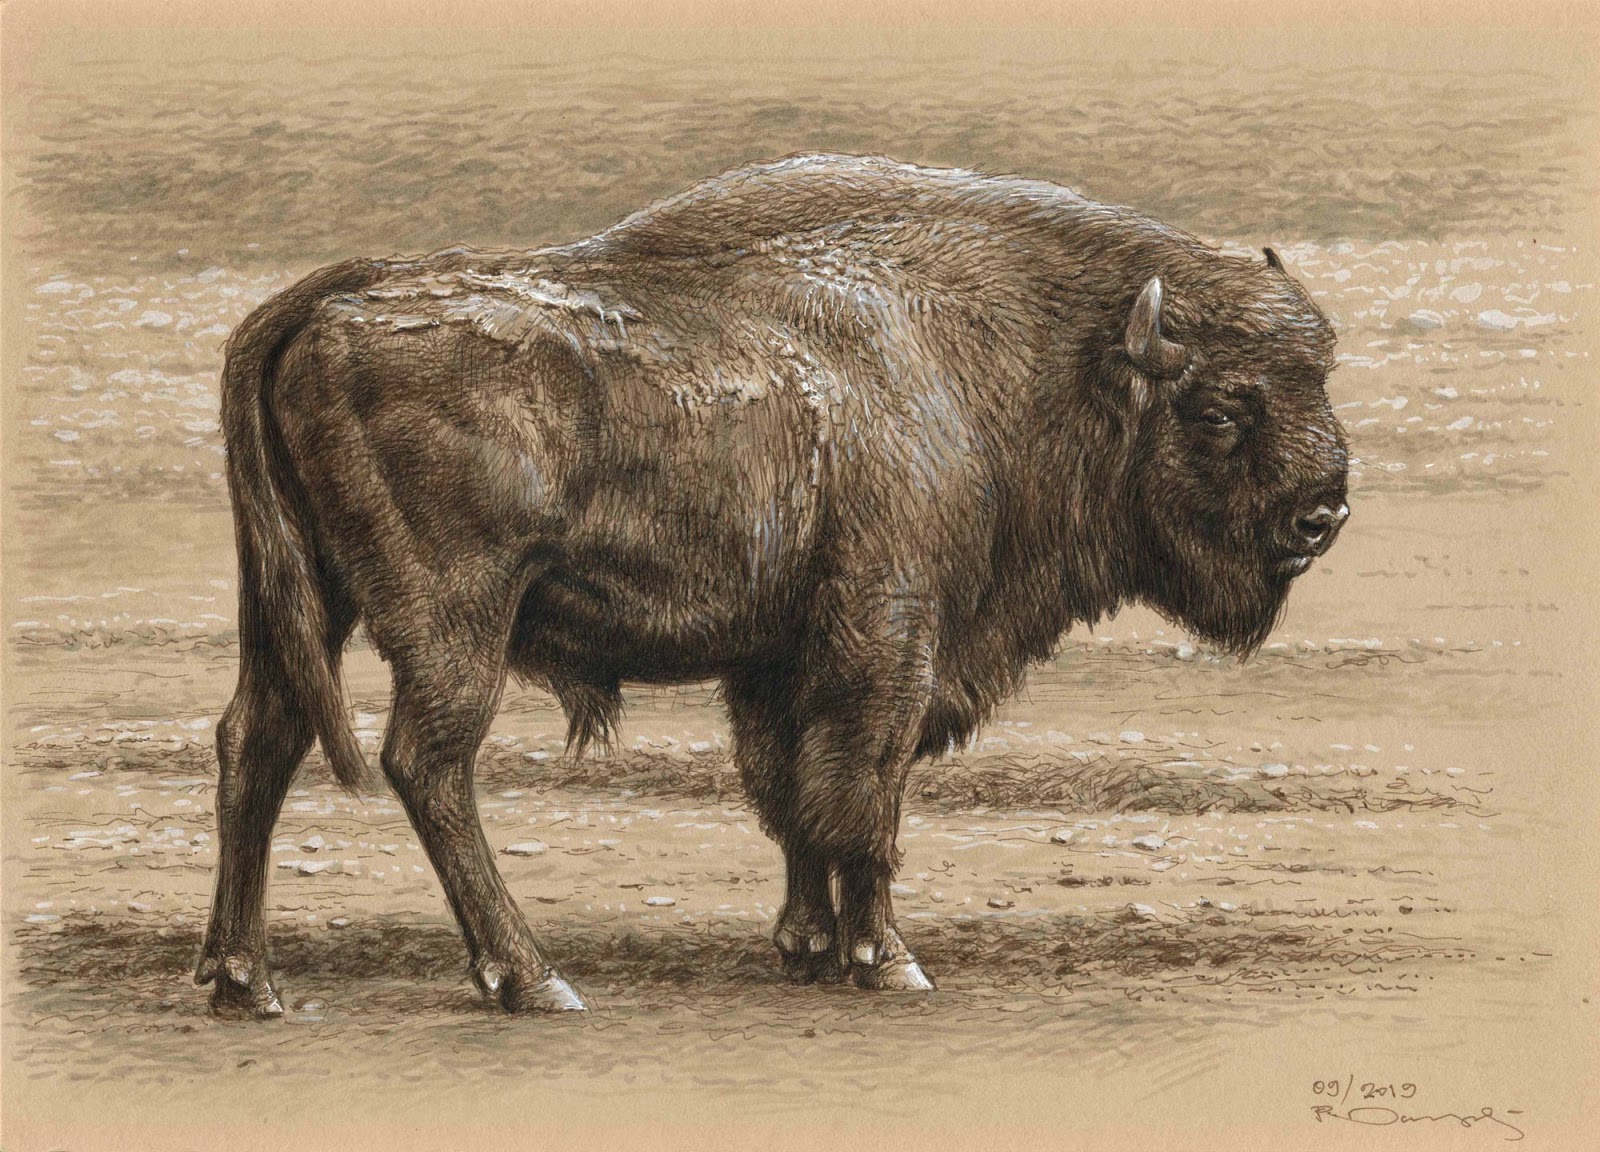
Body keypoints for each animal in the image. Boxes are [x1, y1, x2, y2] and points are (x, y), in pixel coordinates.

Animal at [196, 153, 1348, 1015]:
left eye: (1321, 379)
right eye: (1222, 407)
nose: (1323, 513)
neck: (1007, 353)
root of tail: (330, 301)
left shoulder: (778, 657)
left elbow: (793, 795)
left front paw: (805, 946)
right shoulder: (891, 633)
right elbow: (863, 796)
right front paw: (889, 960)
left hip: (297, 596)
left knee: (258, 738)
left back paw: (244, 980)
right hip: (454, 618)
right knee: (425, 763)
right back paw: (531, 979)